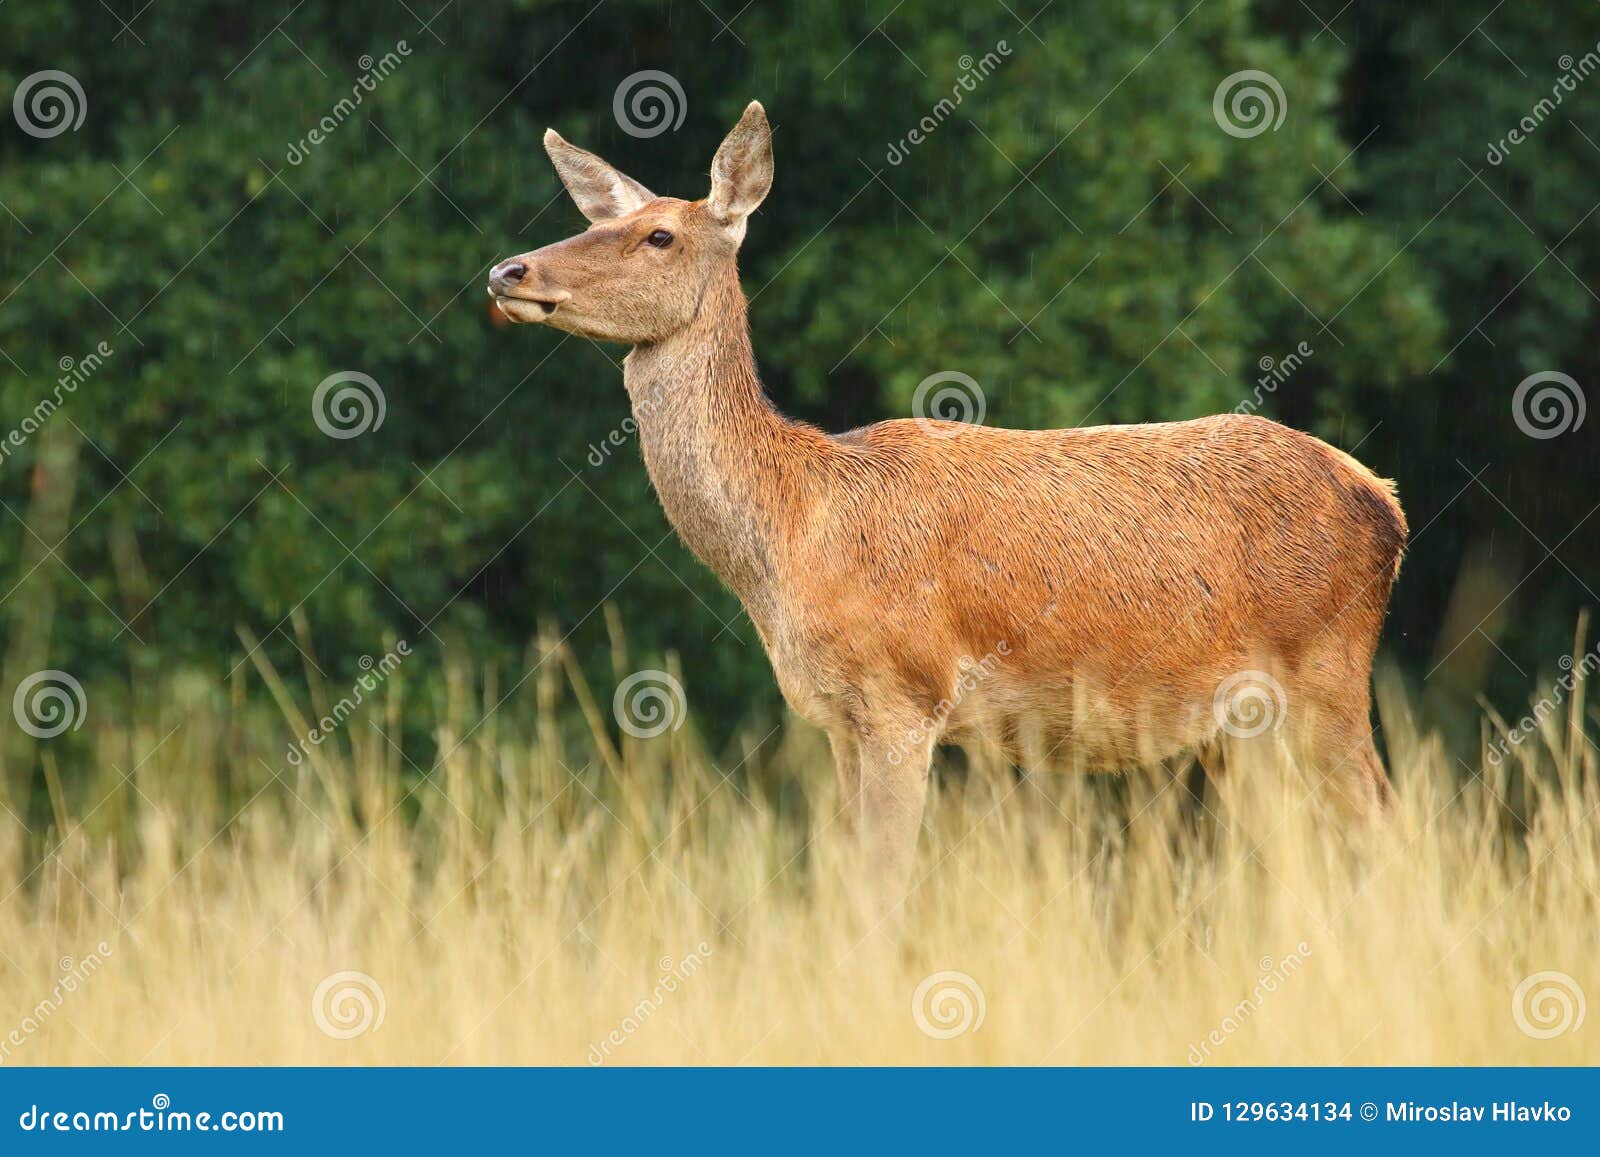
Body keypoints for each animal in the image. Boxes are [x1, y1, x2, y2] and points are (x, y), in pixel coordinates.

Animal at [487, 101, 1407, 891]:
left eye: (659, 234)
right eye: (594, 220)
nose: (506, 269)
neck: (790, 527)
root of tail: (1387, 500)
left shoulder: (904, 690)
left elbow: (882, 887)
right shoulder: (837, 718)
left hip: (1326, 672)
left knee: (1386, 830)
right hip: (1246, 727)